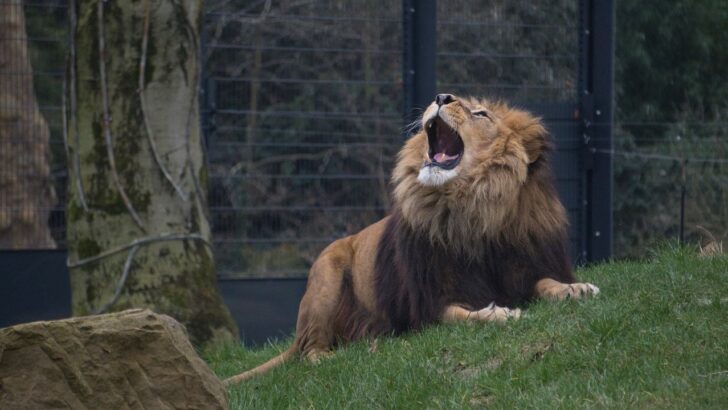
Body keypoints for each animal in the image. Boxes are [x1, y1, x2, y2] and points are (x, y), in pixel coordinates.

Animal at [225, 94, 599, 385]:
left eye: (481, 113)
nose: (441, 97)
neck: (474, 212)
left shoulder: (526, 265)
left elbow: (545, 283)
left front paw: (574, 289)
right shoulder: (428, 303)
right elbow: (458, 315)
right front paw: (496, 314)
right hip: (324, 277)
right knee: (309, 352)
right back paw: (340, 356)